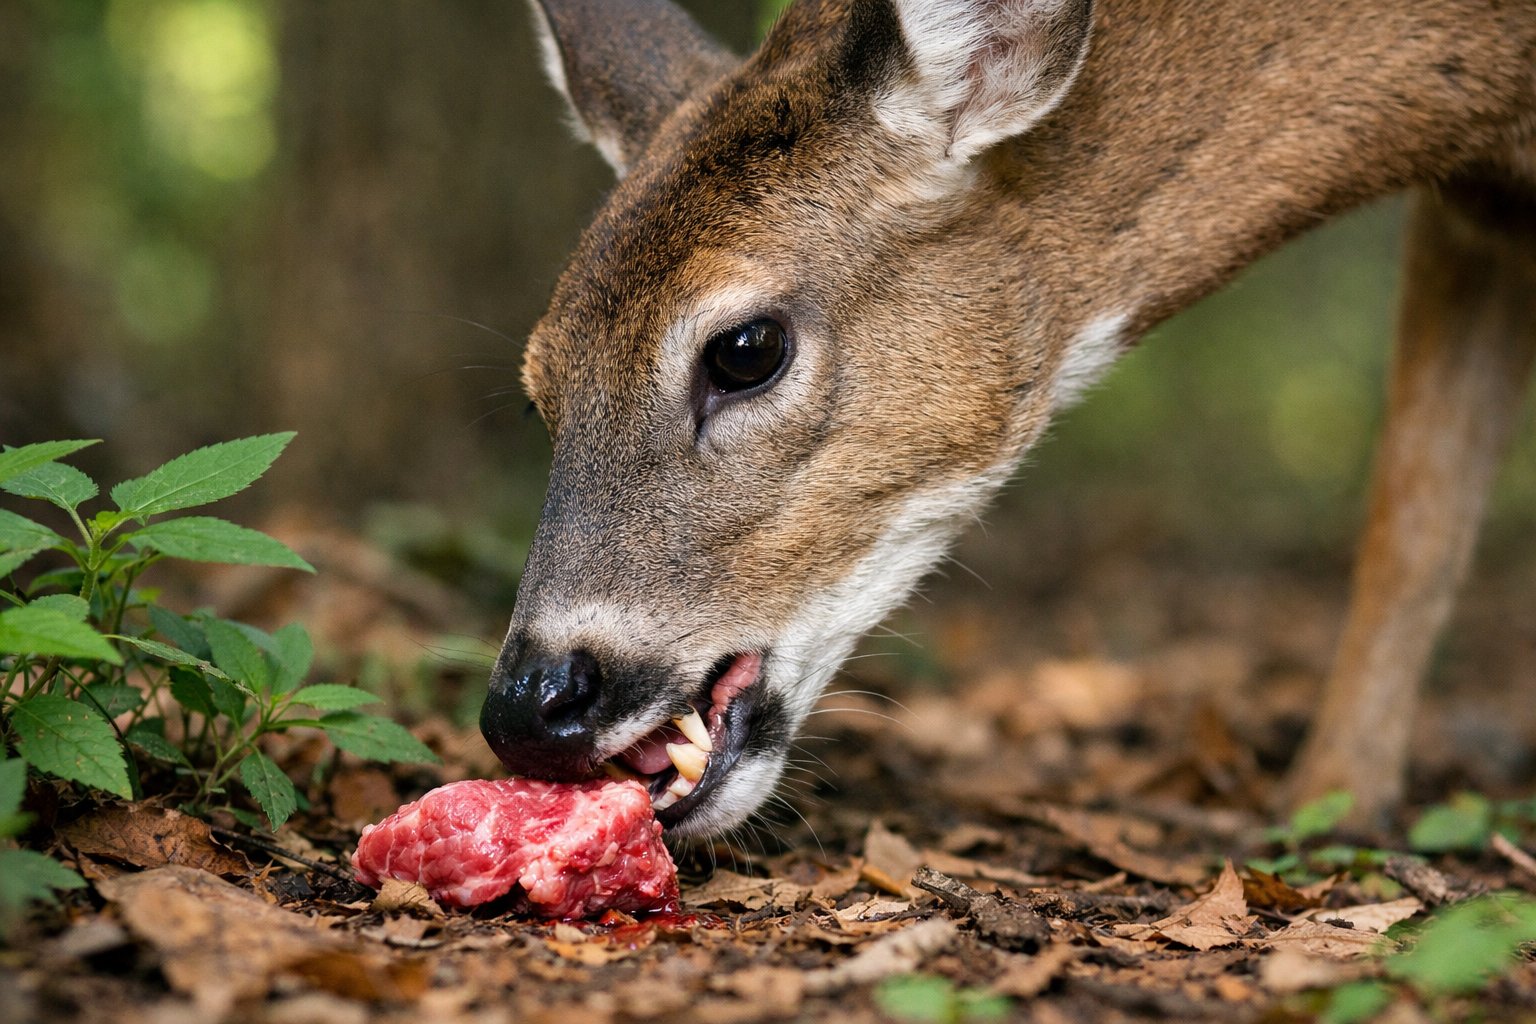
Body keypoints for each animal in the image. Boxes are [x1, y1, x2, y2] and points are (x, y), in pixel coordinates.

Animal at [476, 0, 1536, 838]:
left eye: (744, 348)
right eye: (539, 386)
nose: (528, 706)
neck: (1490, 97)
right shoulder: (1474, 214)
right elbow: (1416, 520)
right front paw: (1334, 801)